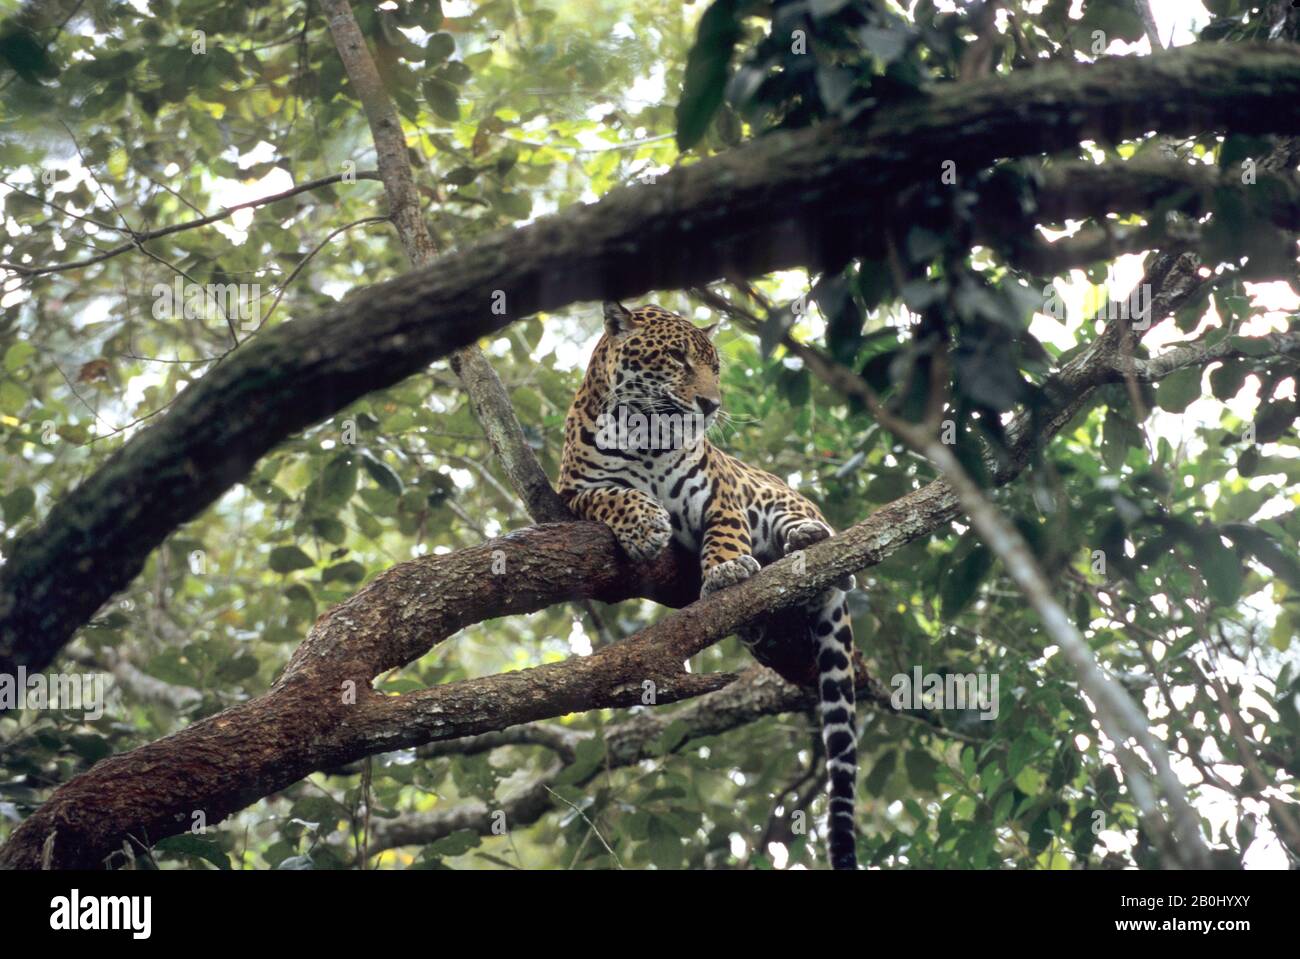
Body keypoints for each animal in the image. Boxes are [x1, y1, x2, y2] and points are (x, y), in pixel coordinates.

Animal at [559, 301, 858, 870]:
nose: (711, 404)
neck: (644, 435)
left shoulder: (721, 490)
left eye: (714, 366)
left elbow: (726, 529)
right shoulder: (573, 494)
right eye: (677, 359)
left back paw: (812, 541)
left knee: (811, 531)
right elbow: (612, 497)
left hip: (775, 492)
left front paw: (726, 569)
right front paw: (645, 525)